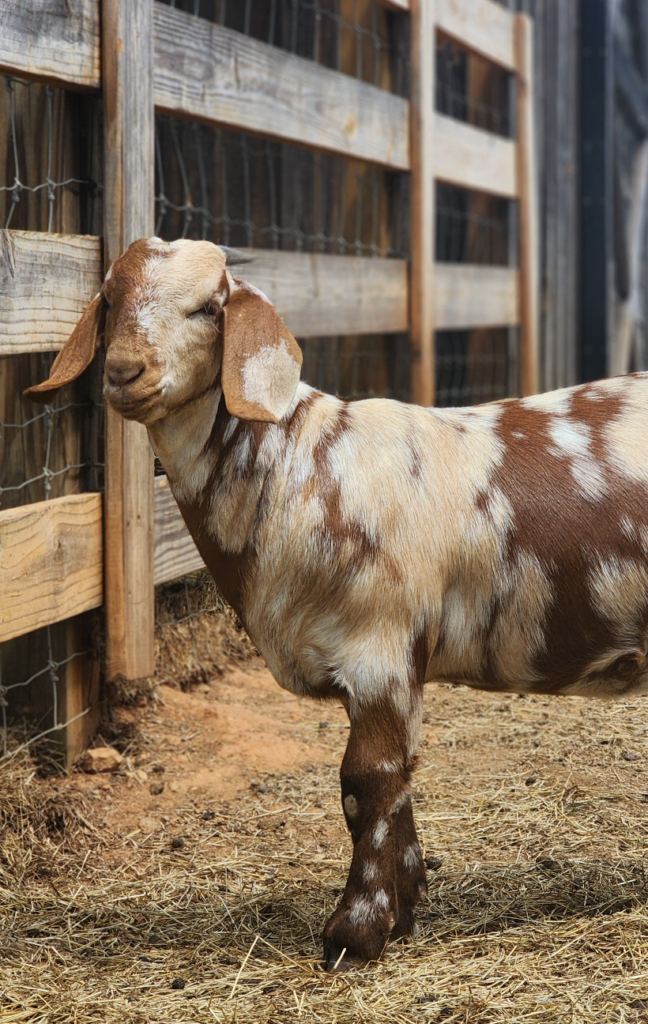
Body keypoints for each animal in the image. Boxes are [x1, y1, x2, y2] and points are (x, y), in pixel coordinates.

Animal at [26, 237, 648, 969]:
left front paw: (355, 932)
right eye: (110, 298)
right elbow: (399, 777)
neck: (297, 465)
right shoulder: (391, 669)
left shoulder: (380, 645)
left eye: (209, 306)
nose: (125, 371)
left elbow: (367, 781)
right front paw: (405, 906)